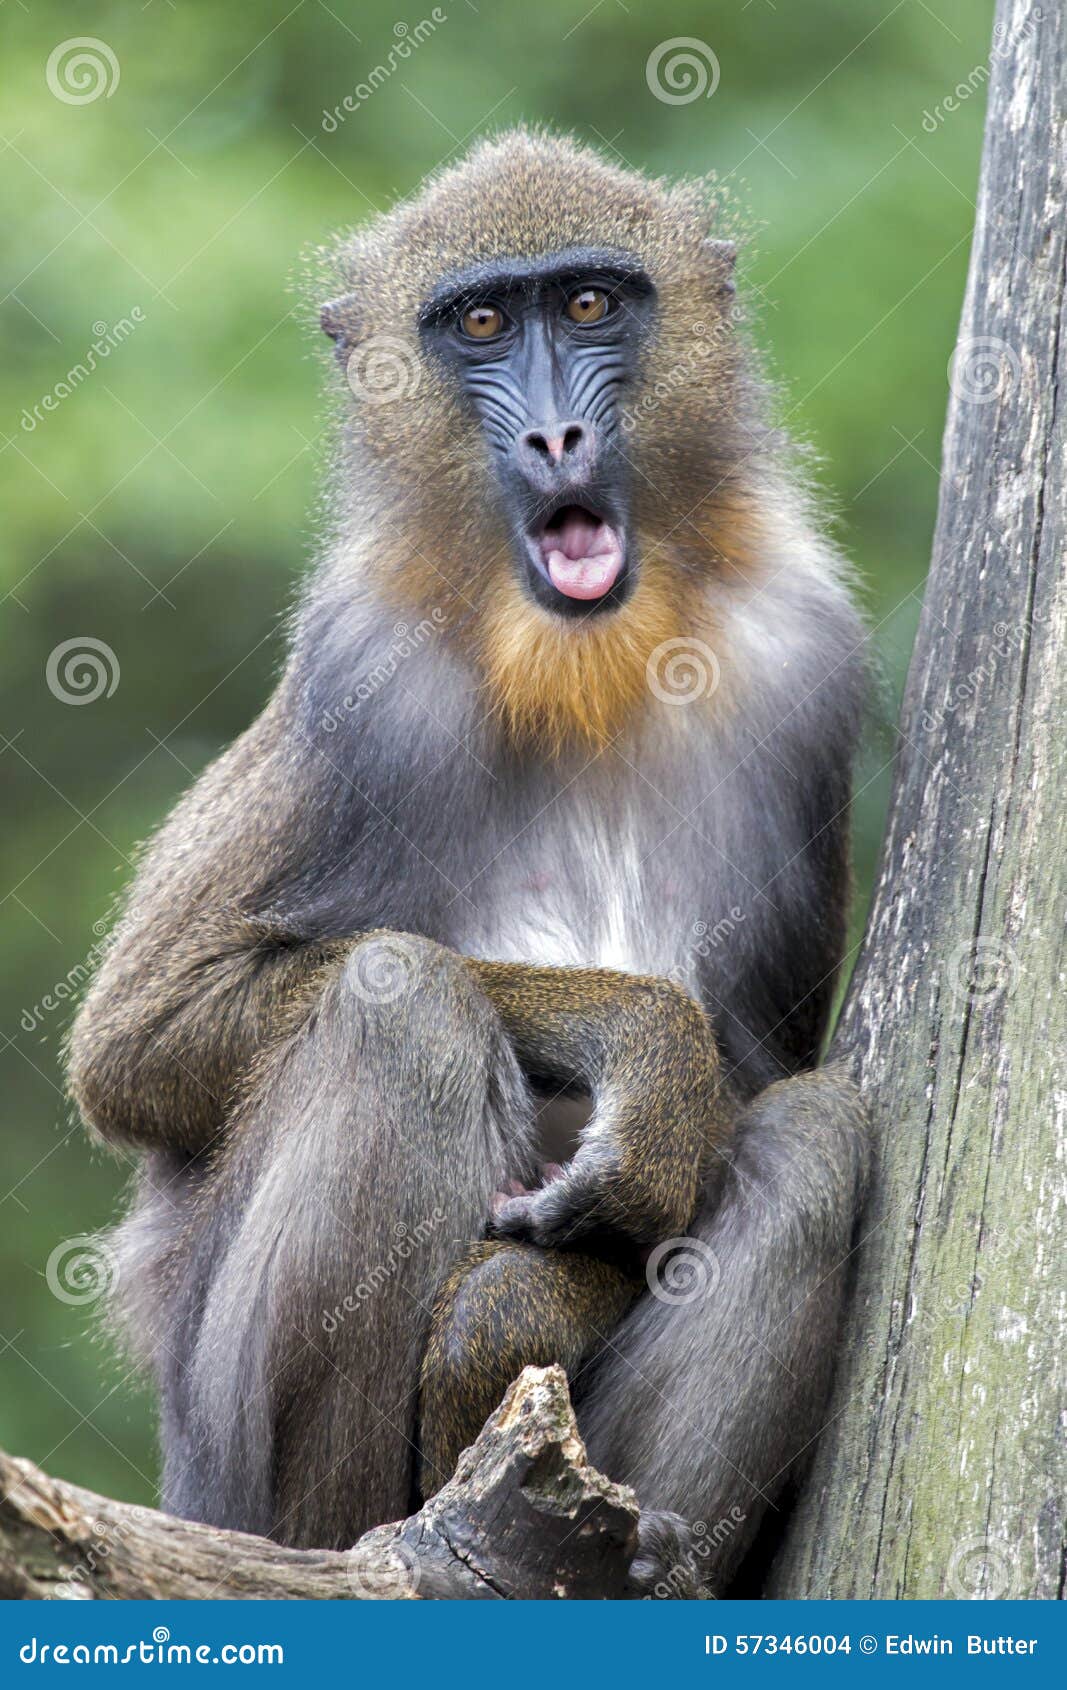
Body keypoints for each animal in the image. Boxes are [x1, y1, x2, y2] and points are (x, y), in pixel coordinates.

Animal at [68, 130, 870, 1595]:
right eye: (483, 325)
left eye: (592, 304)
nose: (556, 436)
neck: (582, 659)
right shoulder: (359, 680)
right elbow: (140, 1047)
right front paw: (636, 1040)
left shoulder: (805, 667)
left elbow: (746, 1084)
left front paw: (523, 1293)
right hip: (220, 1475)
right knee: (398, 1002)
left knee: (816, 1137)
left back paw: (648, 1558)